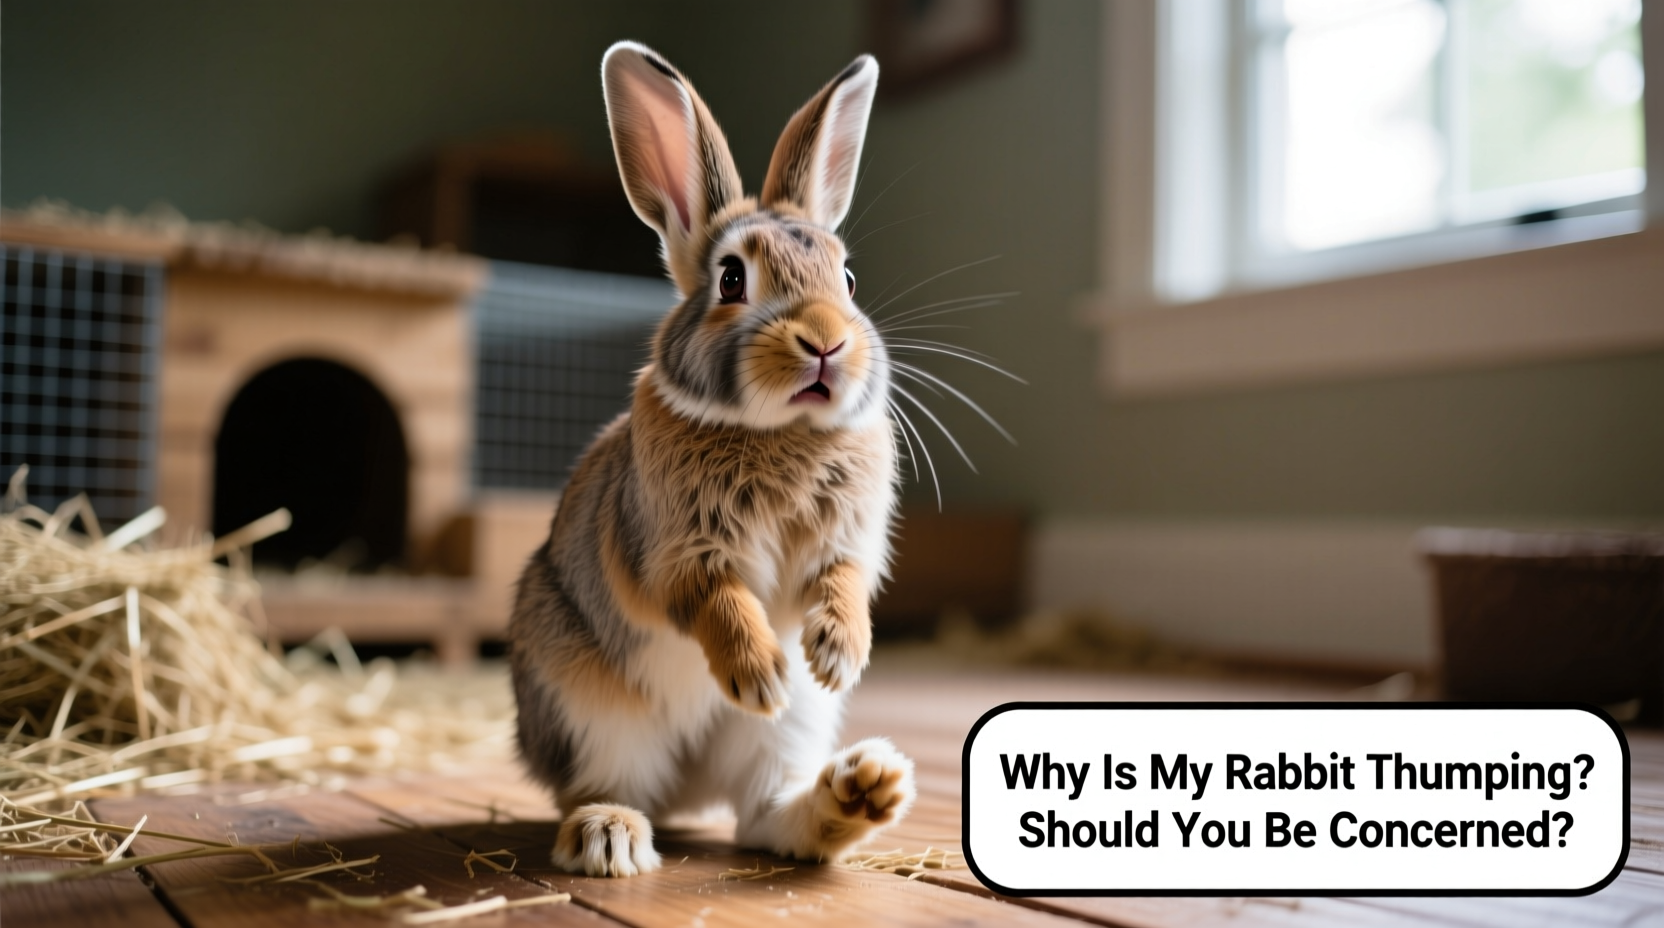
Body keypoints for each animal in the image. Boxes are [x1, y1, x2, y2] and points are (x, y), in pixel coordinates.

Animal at [507, 40, 914, 879]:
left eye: (848, 277)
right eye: (732, 278)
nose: (827, 341)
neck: (779, 432)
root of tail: (687, 789)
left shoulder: (846, 544)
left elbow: (843, 582)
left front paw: (837, 653)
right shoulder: (674, 552)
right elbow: (717, 600)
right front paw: (758, 673)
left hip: (789, 732)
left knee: (767, 817)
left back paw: (863, 788)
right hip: (588, 700)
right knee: (605, 785)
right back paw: (609, 836)